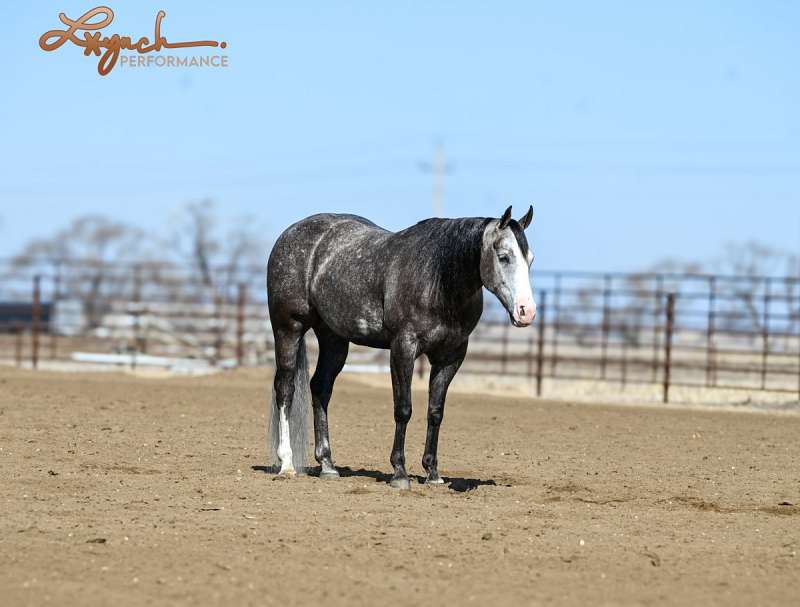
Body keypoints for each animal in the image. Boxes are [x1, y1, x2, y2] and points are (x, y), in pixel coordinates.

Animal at [266, 205, 536, 489]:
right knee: (285, 388)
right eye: (504, 257)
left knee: (320, 388)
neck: (437, 280)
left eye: (530, 259)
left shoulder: (450, 357)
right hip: (289, 328)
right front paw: (399, 473)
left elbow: (435, 412)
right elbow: (403, 408)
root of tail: (291, 233)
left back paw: (328, 465)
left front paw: (433, 474)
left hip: (333, 339)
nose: (526, 312)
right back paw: (286, 464)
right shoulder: (403, 348)